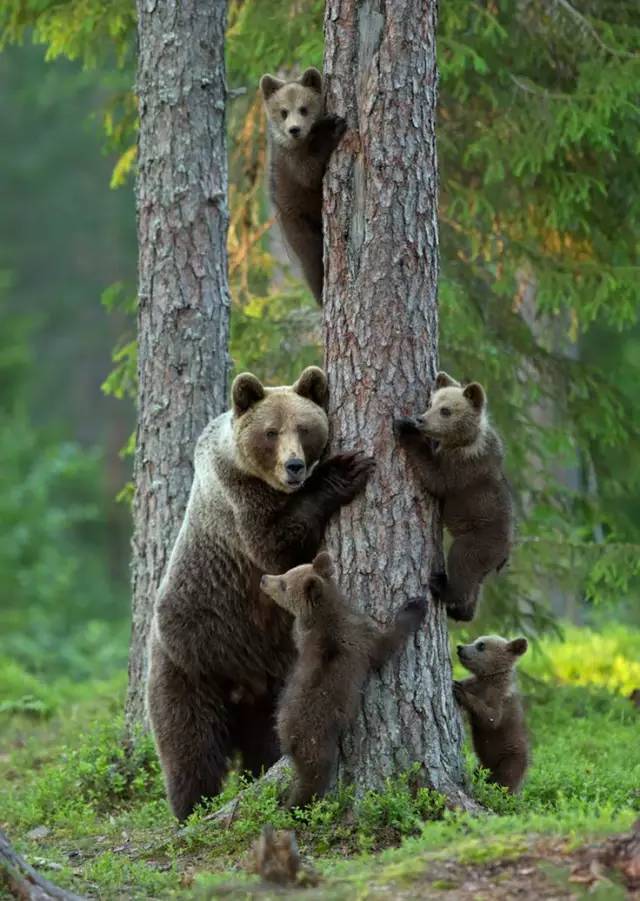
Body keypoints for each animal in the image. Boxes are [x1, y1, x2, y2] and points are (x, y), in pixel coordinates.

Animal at [146, 366, 375, 821]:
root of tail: (241, 686)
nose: (295, 466)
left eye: (303, 427)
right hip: (189, 663)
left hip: (272, 682)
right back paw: (191, 809)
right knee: (190, 747)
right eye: (271, 432)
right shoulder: (238, 501)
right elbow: (274, 547)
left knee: (265, 743)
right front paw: (342, 471)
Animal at [260, 66, 346, 304]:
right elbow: (309, 173)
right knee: (313, 262)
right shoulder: (290, 162)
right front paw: (332, 127)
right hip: (298, 223)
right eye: (283, 112)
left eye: (303, 108)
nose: (294, 129)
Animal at [260, 551, 428, 808]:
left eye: (283, 582)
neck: (325, 614)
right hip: (317, 740)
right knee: (313, 777)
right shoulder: (360, 640)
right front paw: (415, 606)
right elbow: (386, 645)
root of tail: (289, 738)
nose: (263, 578)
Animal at [394, 371, 513, 622]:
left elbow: (436, 479)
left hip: (481, 540)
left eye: (446, 410)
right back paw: (462, 612)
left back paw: (442, 587)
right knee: (475, 585)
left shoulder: (464, 468)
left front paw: (406, 429)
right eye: (430, 403)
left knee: (463, 563)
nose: (420, 419)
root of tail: (505, 554)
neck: (467, 439)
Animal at [453, 635, 529, 793]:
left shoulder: (500, 700)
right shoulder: (475, 683)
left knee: (506, 781)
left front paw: (461, 693)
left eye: (481, 645)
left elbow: (490, 719)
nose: (460, 647)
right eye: (476, 641)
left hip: (511, 759)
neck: (490, 679)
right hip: (483, 765)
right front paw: (456, 683)